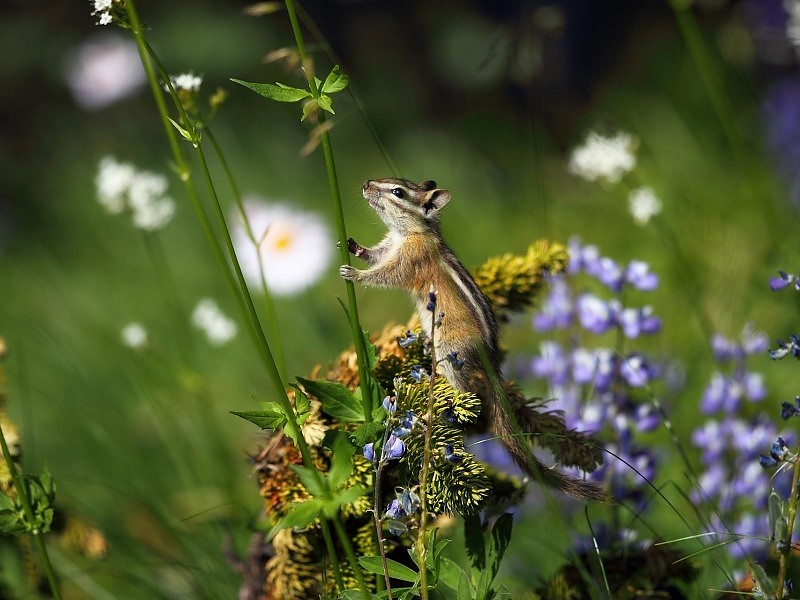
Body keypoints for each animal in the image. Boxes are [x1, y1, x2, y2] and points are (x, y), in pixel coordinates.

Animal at [340, 178, 609, 502]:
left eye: (398, 192)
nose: (366, 184)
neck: (411, 231)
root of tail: (493, 362)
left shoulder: (410, 258)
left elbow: (386, 274)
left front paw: (354, 274)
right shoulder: (389, 246)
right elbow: (376, 255)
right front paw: (354, 247)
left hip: (452, 351)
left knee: (467, 391)